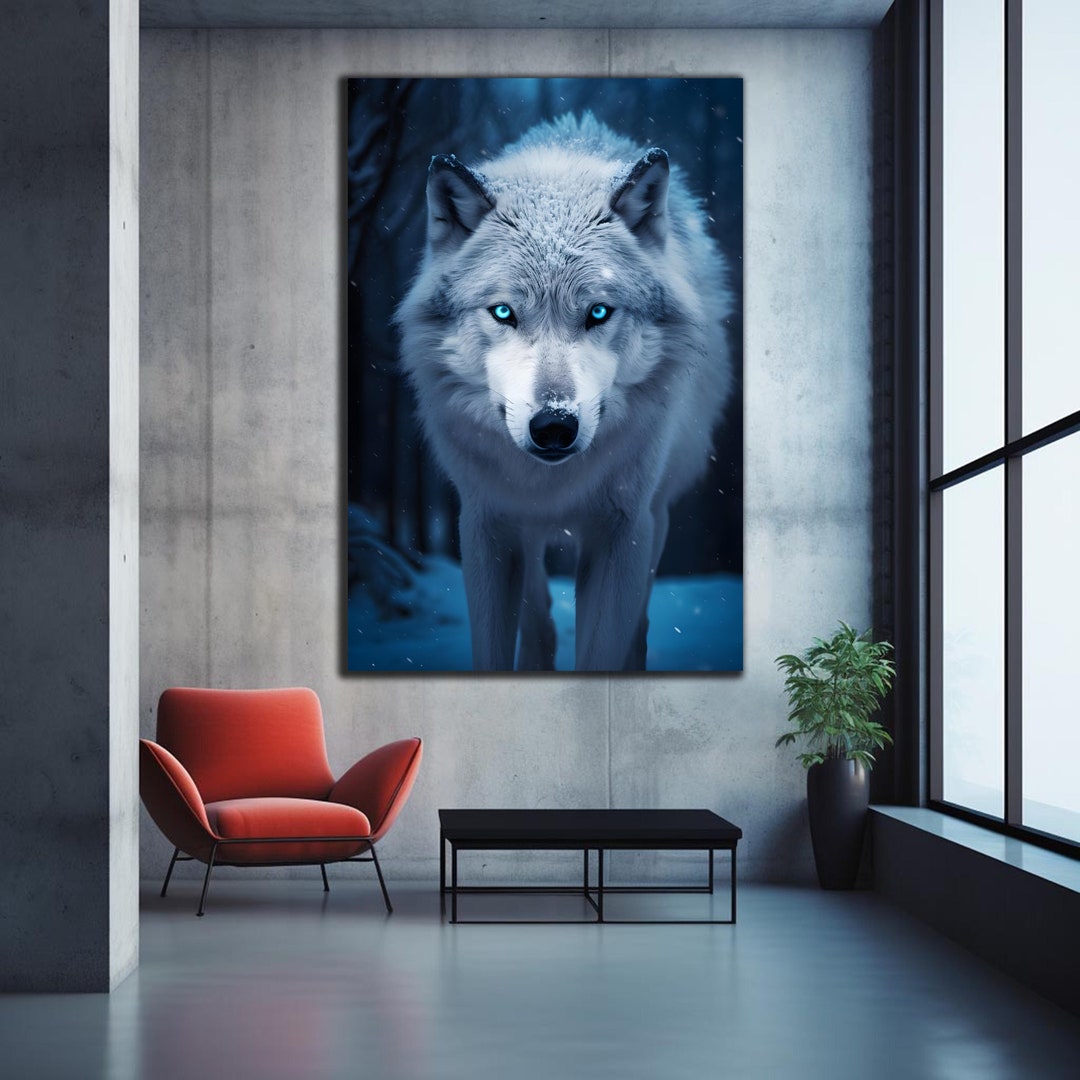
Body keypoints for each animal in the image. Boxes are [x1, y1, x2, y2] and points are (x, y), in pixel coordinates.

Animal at [395, 113, 734, 671]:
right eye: (503, 312)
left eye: (598, 312)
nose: (554, 426)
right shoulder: (485, 526)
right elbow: (493, 651)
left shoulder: (624, 530)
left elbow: (602, 651)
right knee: (540, 617)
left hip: (657, 517)